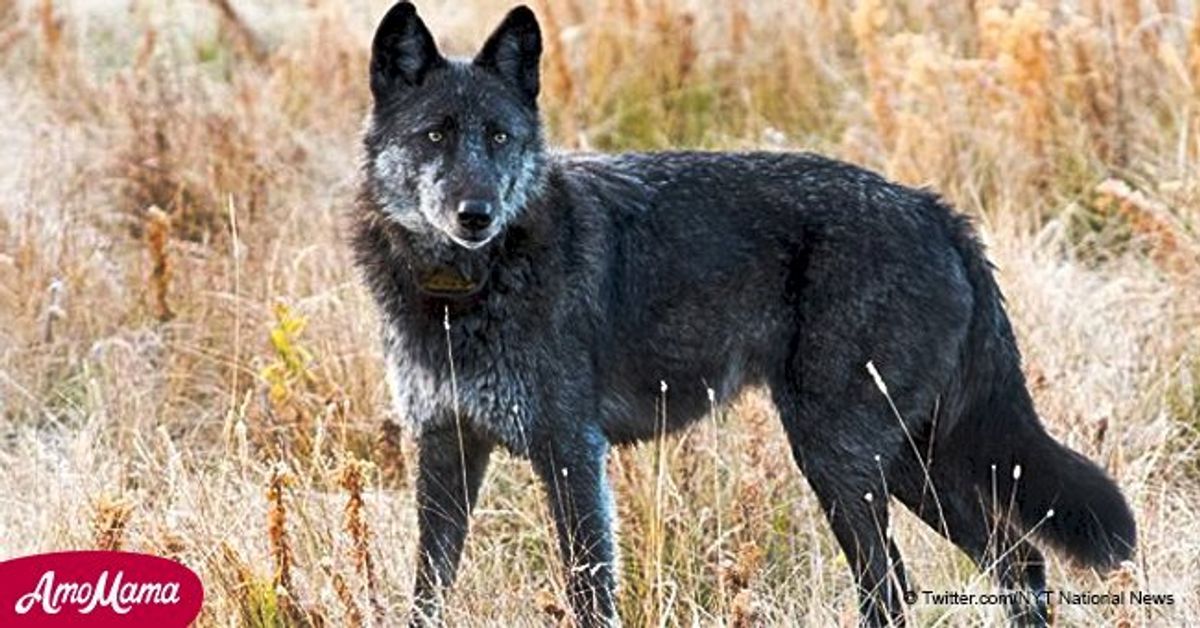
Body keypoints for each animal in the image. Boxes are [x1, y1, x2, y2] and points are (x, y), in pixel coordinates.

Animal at [351, 3, 1137, 626]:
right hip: (912, 463)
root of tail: (936, 211)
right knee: (1019, 562)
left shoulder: (570, 451)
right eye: (434, 135)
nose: (475, 214)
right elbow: (427, 591)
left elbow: (590, 595)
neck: (458, 295)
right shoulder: (446, 448)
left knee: (897, 586)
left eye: (500, 137)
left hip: (843, 460)